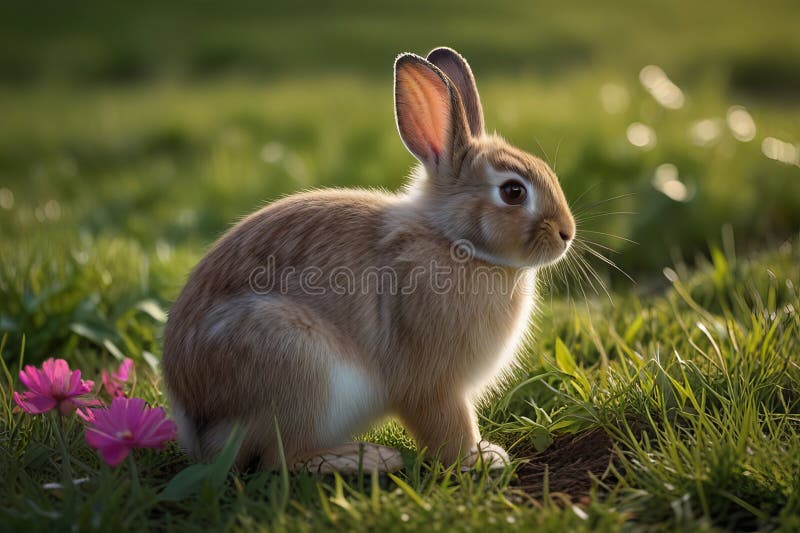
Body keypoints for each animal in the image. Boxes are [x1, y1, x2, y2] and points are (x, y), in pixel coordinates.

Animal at [162, 47, 575, 473]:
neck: (452, 240)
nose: (567, 234)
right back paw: (368, 459)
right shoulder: (432, 382)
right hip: (297, 366)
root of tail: (200, 427)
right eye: (513, 191)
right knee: (281, 459)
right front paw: (480, 459)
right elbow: (447, 426)